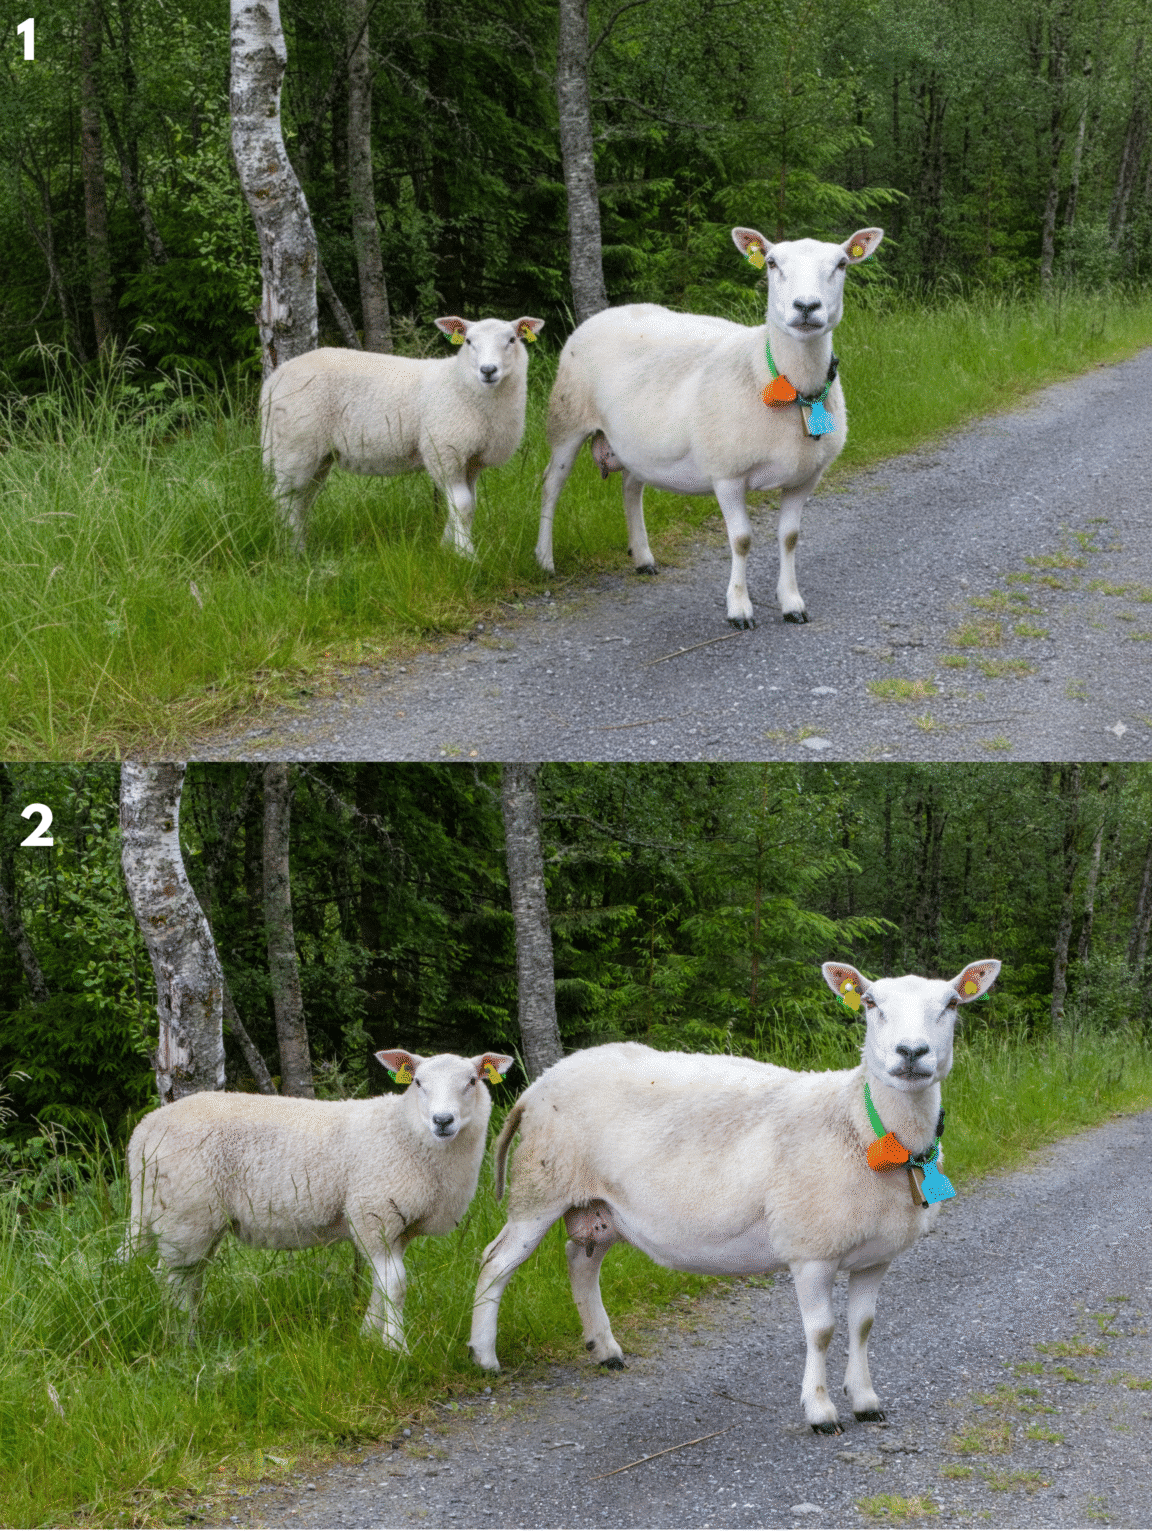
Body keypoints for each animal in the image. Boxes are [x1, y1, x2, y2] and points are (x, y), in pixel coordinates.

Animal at [121, 1048, 514, 1348]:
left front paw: (368, 1336)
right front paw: (395, 1346)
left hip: (193, 1218)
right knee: (175, 1279)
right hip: (185, 1213)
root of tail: (144, 1130)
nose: (442, 1120)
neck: (406, 1132)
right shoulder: (374, 1213)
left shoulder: (395, 1227)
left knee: (191, 1278)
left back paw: (193, 1331)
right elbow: (396, 1286)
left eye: (472, 1081)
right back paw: (182, 1340)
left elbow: (382, 1284)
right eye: (418, 1082)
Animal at [260, 316, 544, 556]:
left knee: (303, 498)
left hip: (317, 454)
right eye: (468, 342)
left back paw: (300, 545)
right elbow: (462, 506)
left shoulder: (472, 459)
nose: (488, 370)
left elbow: (467, 506)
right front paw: (466, 555)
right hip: (295, 445)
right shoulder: (444, 451)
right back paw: (292, 551)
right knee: (285, 498)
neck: (462, 384)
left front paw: (446, 547)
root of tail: (274, 379)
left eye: (512, 340)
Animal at [469, 959, 999, 1433]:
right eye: (870, 1003)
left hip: (599, 1204)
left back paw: (605, 1349)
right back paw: (484, 1356)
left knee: (580, 1257)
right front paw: (821, 1411)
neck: (863, 1125)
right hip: (540, 1185)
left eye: (951, 1004)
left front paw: (866, 1401)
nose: (912, 1052)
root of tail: (538, 1085)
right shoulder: (811, 1249)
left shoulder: (876, 1254)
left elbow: (863, 1325)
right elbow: (822, 1331)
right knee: (496, 1261)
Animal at [536, 226, 883, 627]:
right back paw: (545, 561)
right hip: (567, 418)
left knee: (631, 487)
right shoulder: (727, 473)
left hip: (636, 443)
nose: (807, 307)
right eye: (771, 263)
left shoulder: (806, 477)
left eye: (841, 264)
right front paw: (739, 608)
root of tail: (606, 313)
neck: (782, 379)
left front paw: (792, 602)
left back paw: (643, 557)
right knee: (552, 485)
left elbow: (790, 537)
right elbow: (742, 540)